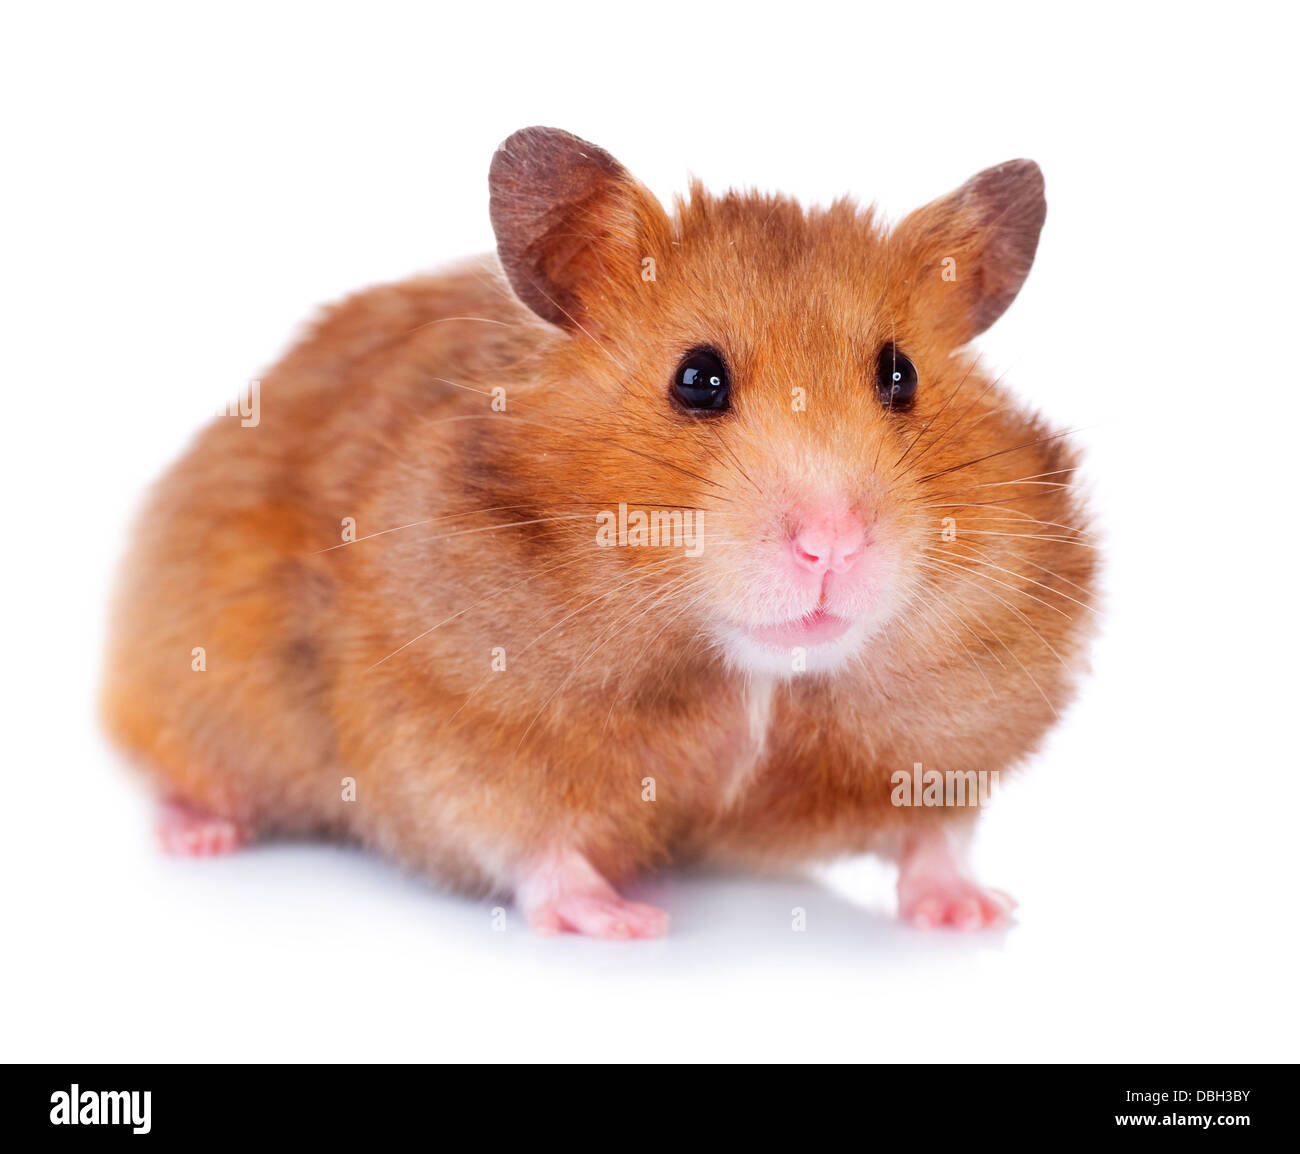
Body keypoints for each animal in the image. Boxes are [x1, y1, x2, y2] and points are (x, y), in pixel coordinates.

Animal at [102, 126, 1097, 938]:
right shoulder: (447, 736)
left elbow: (935, 834)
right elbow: (528, 842)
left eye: (901, 376)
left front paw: (978, 913)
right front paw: (626, 923)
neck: (751, 674)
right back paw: (199, 836)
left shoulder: (944, 743)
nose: (833, 545)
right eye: (697, 379)